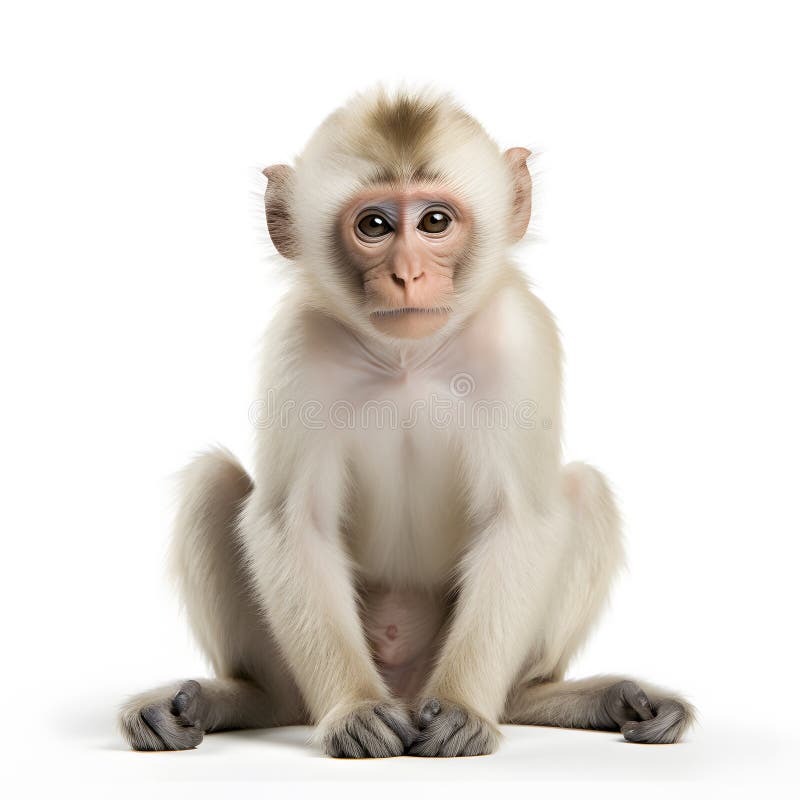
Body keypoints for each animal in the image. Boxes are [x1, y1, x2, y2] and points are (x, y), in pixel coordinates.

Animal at [119, 87, 695, 758]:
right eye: (374, 225)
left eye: (435, 222)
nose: (408, 274)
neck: (406, 361)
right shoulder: (298, 344)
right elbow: (293, 522)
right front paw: (354, 709)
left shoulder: (519, 336)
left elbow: (520, 518)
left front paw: (464, 708)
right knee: (215, 484)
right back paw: (240, 699)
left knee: (584, 490)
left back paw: (552, 698)